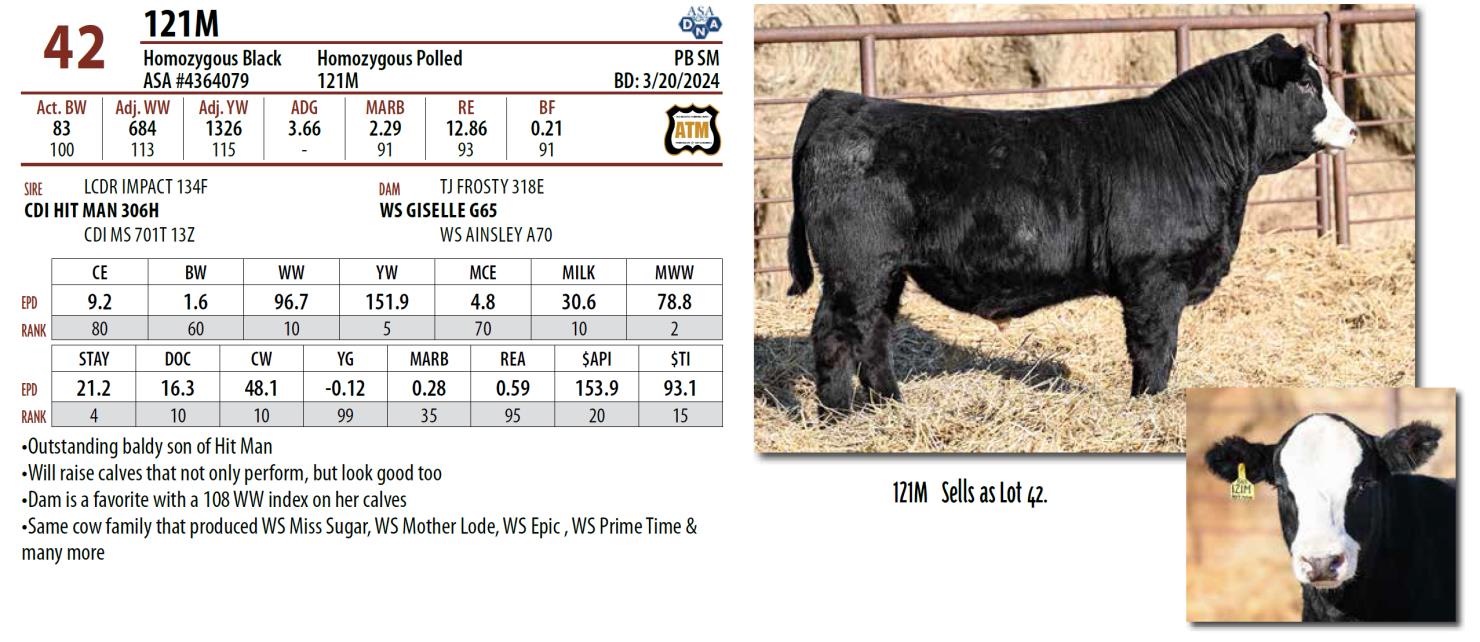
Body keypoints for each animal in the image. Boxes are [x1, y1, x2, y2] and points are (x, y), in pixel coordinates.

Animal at [785, 35, 1357, 412]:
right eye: (1307, 85)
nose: (1352, 129)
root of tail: (841, 101)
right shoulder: (1156, 277)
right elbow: (1155, 348)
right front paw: (1148, 406)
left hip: (886, 271)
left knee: (875, 330)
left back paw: (889, 407)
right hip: (856, 266)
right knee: (835, 332)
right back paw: (838, 415)